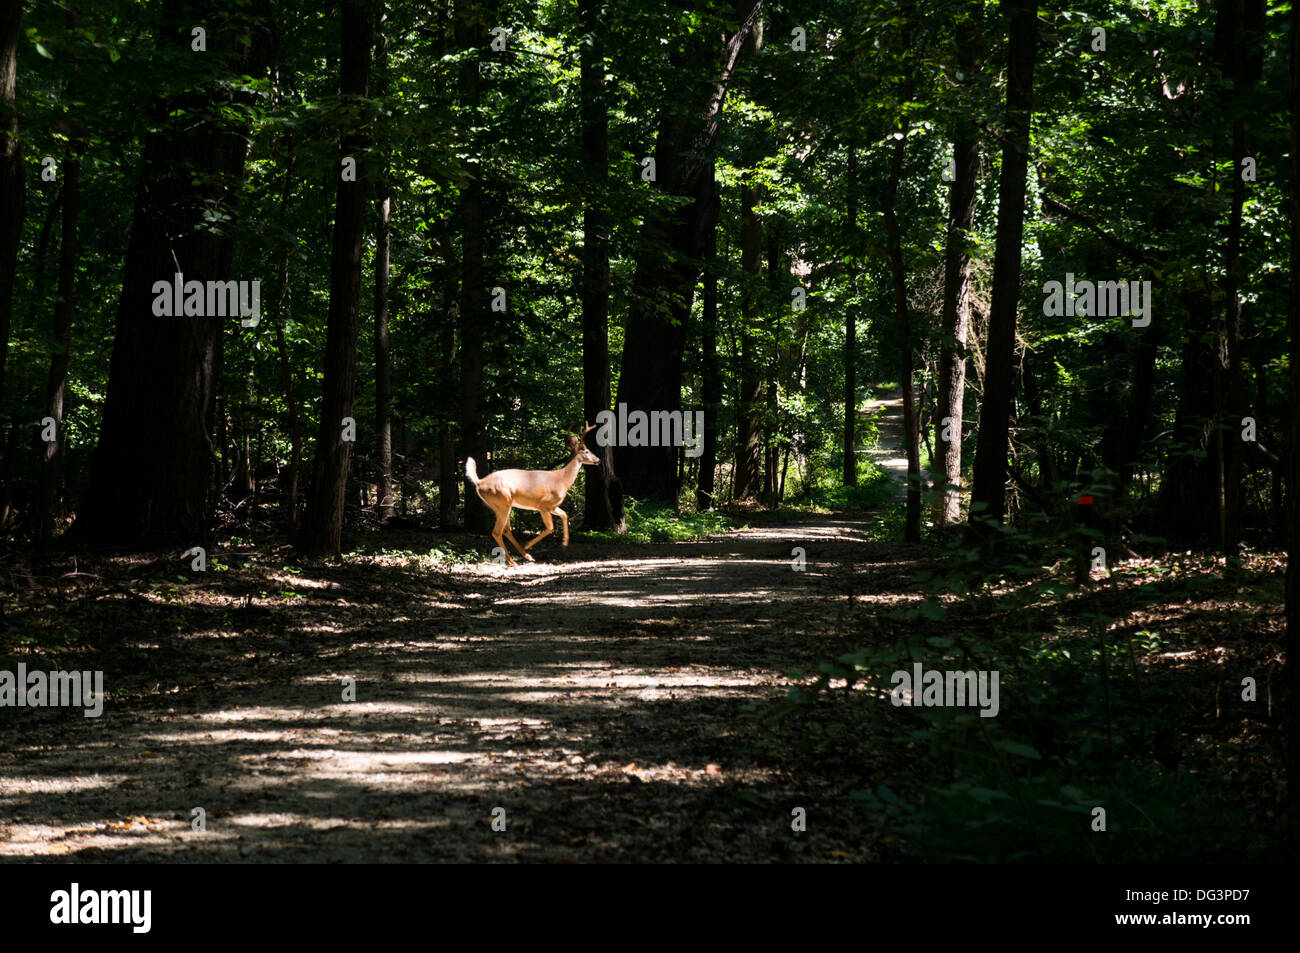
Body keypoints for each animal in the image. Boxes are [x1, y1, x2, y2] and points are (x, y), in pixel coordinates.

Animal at [464, 423, 601, 566]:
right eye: (586, 450)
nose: (598, 459)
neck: (562, 480)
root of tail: (479, 482)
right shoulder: (543, 505)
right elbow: (550, 527)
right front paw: (529, 544)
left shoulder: (553, 506)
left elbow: (564, 515)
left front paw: (564, 544)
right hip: (502, 501)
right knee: (497, 532)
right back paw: (513, 560)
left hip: (500, 505)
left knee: (506, 530)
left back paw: (526, 556)